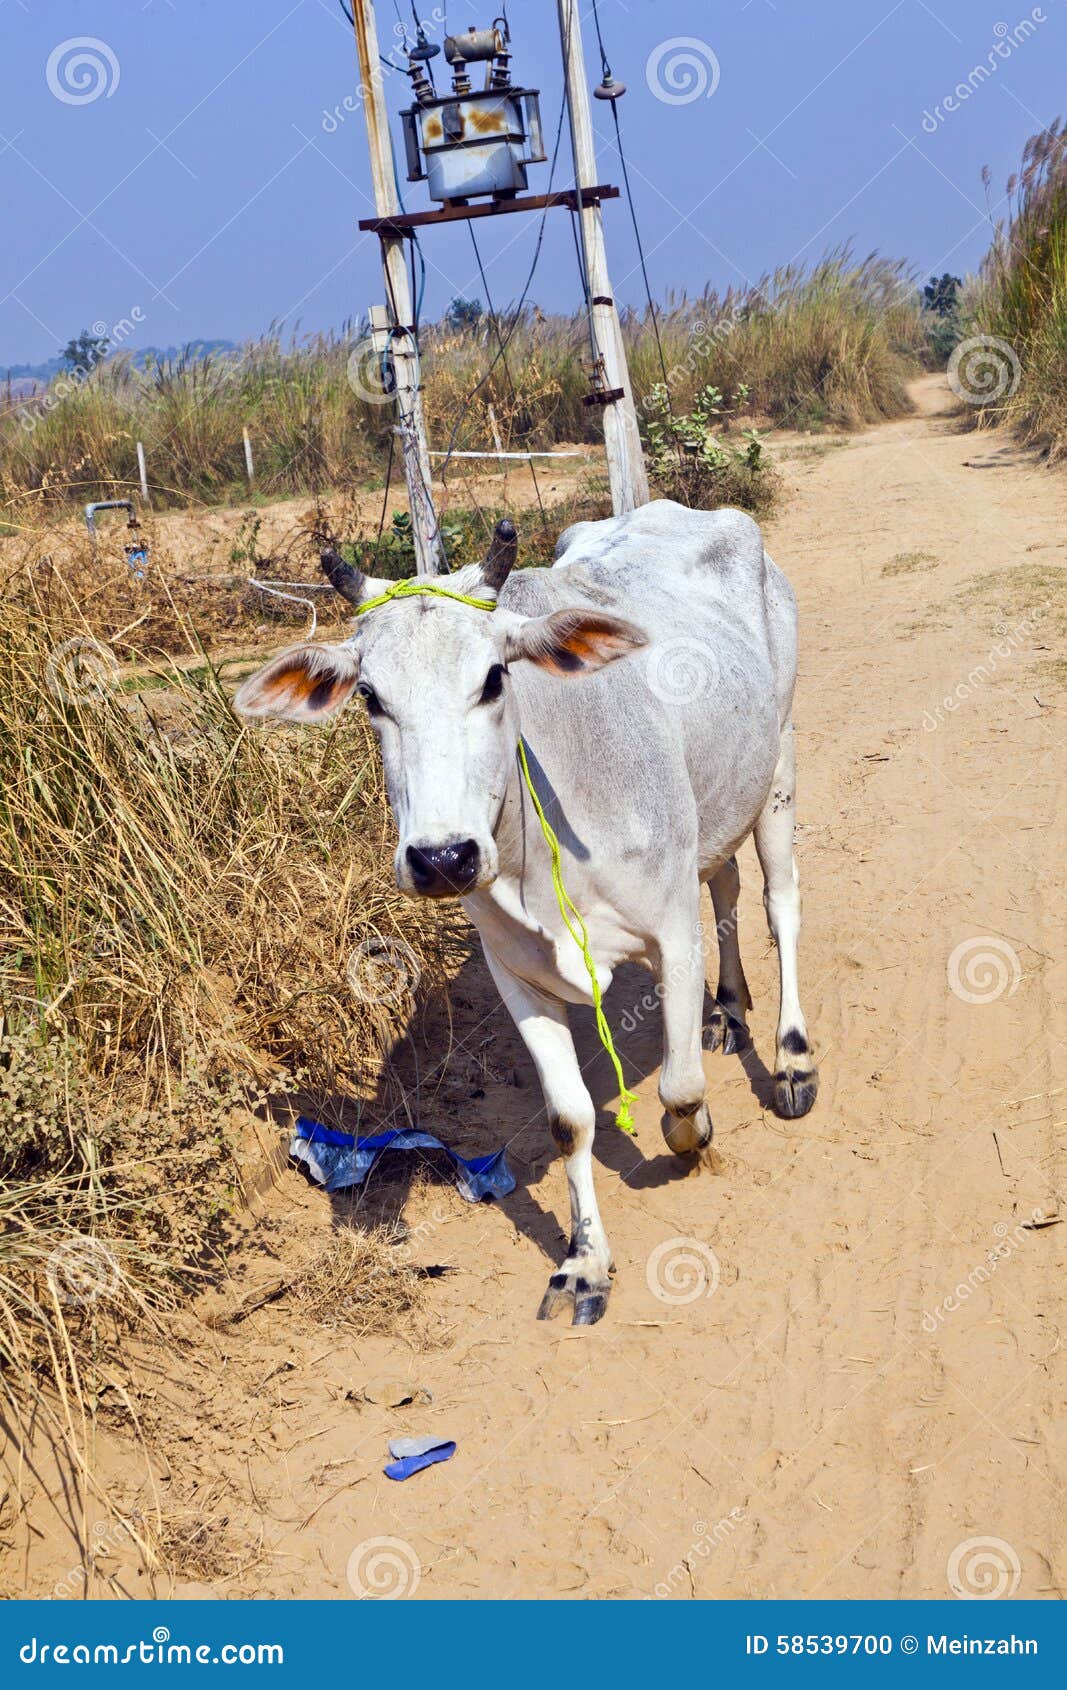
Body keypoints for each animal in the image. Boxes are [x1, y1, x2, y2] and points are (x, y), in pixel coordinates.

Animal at [234, 499, 817, 1325]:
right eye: (370, 697)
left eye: (491, 678)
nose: (443, 857)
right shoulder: (517, 975)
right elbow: (568, 1121)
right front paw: (584, 1263)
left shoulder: (671, 934)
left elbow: (678, 1089)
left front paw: (694, 1135)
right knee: (727, 885)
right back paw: (727, 1011)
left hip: (780, 756)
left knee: (778, 902)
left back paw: (792, 1056)